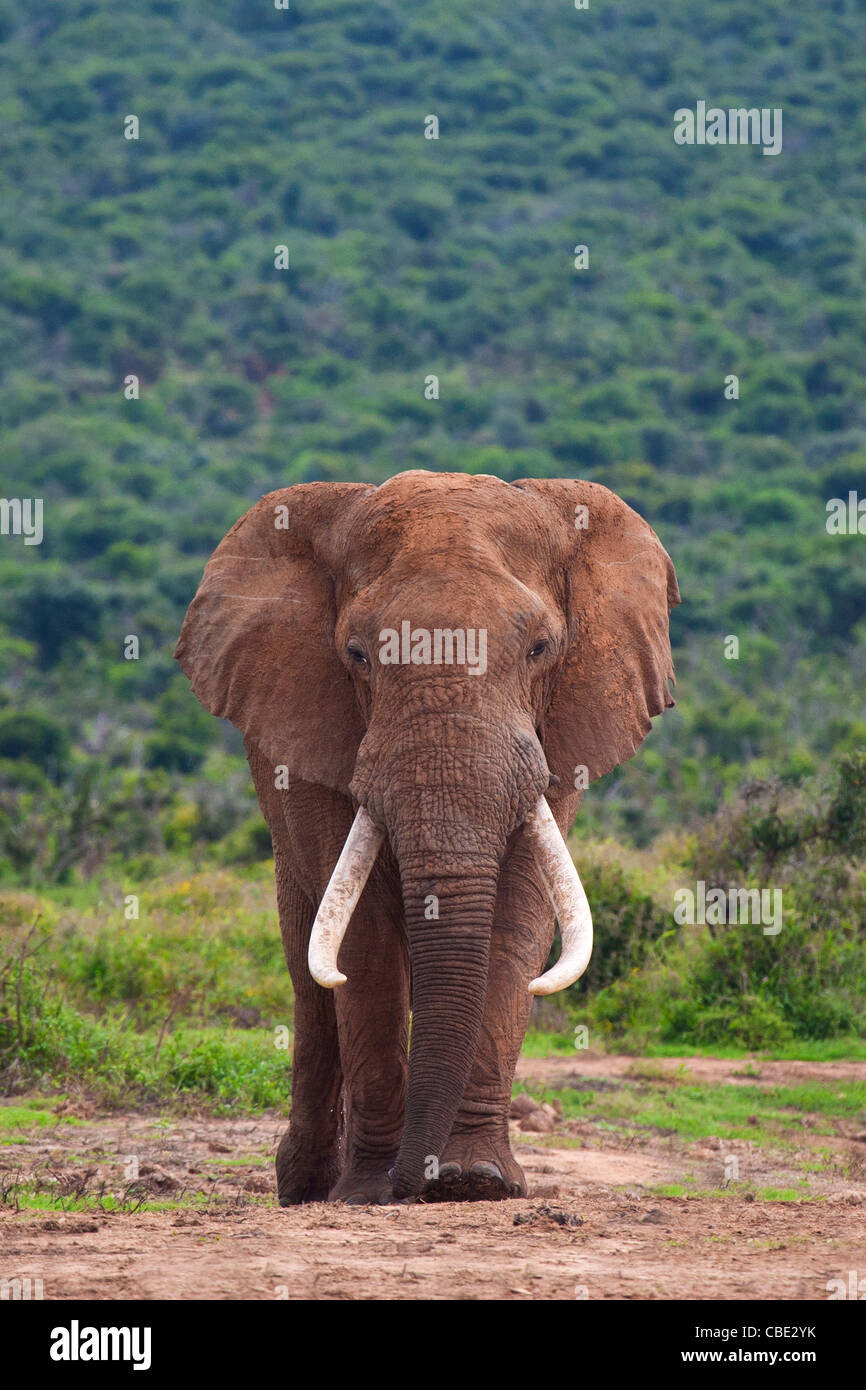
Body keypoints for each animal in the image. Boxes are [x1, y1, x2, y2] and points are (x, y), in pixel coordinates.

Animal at [175, 470, 679, 1205]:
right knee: (308, 966)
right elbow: (363, 940)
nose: (408, 1180)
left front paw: (474, 1181)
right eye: (356, 654)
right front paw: (367, 1191)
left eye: (541, 649)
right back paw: (307, 1186)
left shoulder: (560, 733)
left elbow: (517, 918)